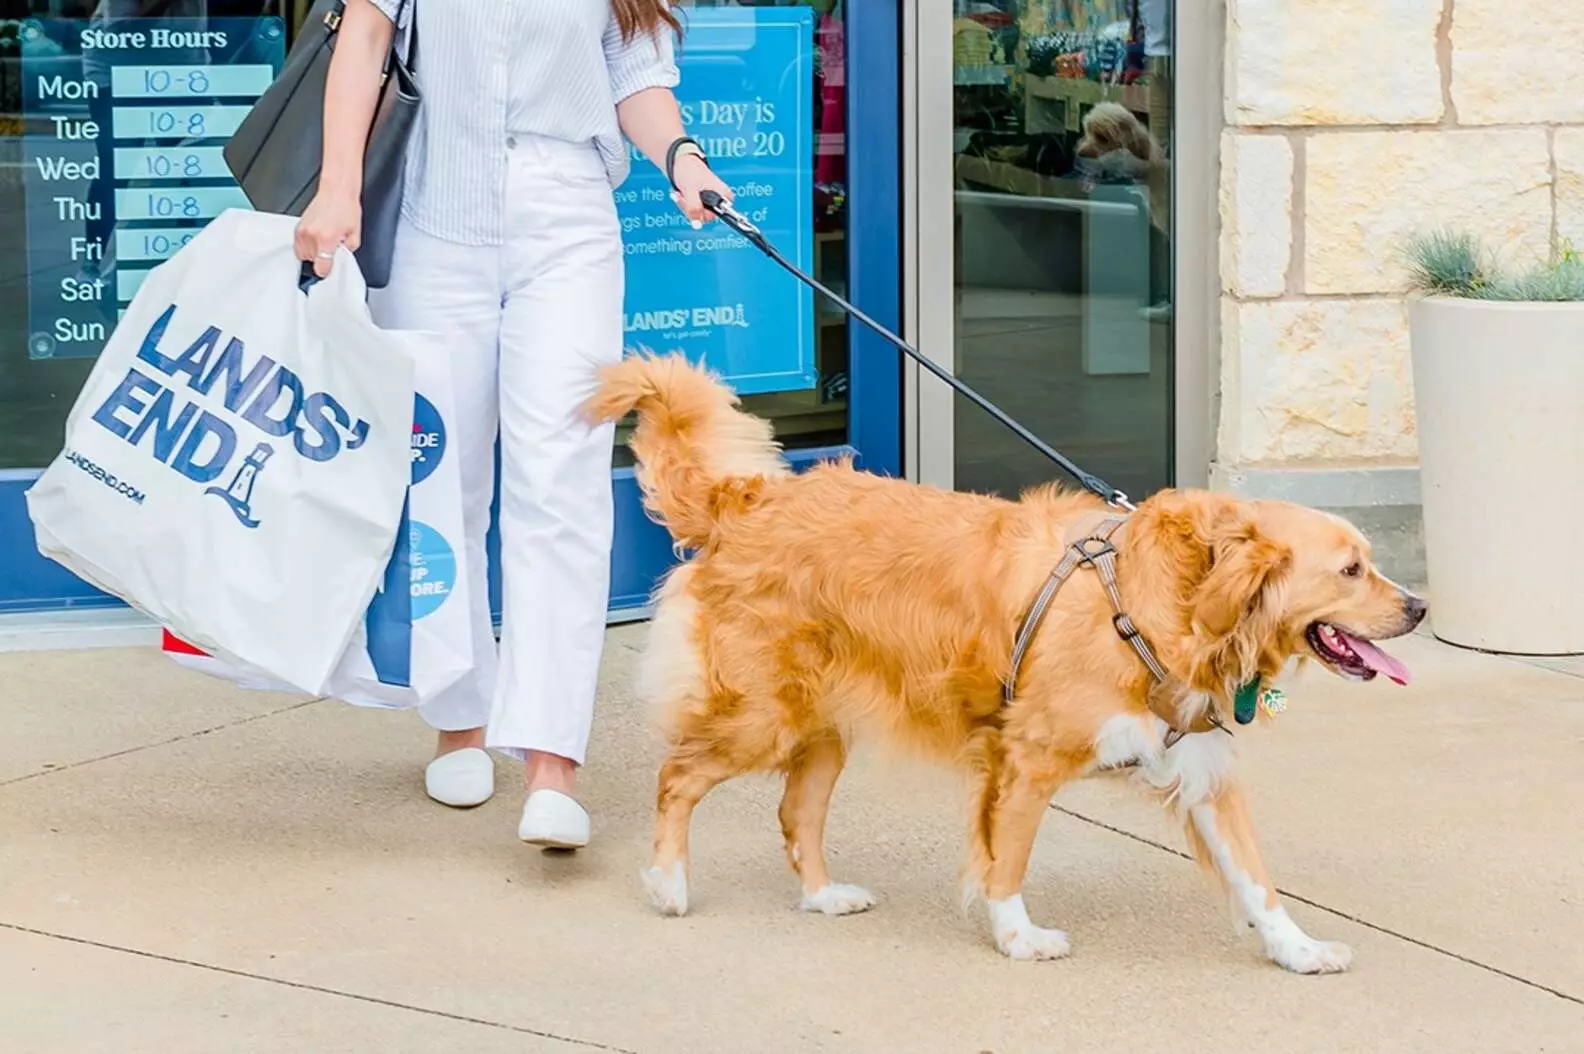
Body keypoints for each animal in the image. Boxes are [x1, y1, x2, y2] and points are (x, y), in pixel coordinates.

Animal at [589, 351, 1431, 969]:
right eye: (1352, 571)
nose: (1421, 608)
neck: (1175, 599)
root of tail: (744, 501)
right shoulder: (1026, 759)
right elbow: (1009, 859)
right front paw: (1017, 936)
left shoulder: (1202, 768)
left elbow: (1257, 881)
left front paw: (1299, 949)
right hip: (764, 715)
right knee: (678, 777)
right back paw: (668, 884)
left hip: (826, 724)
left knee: (796, 813)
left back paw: (824, 897)